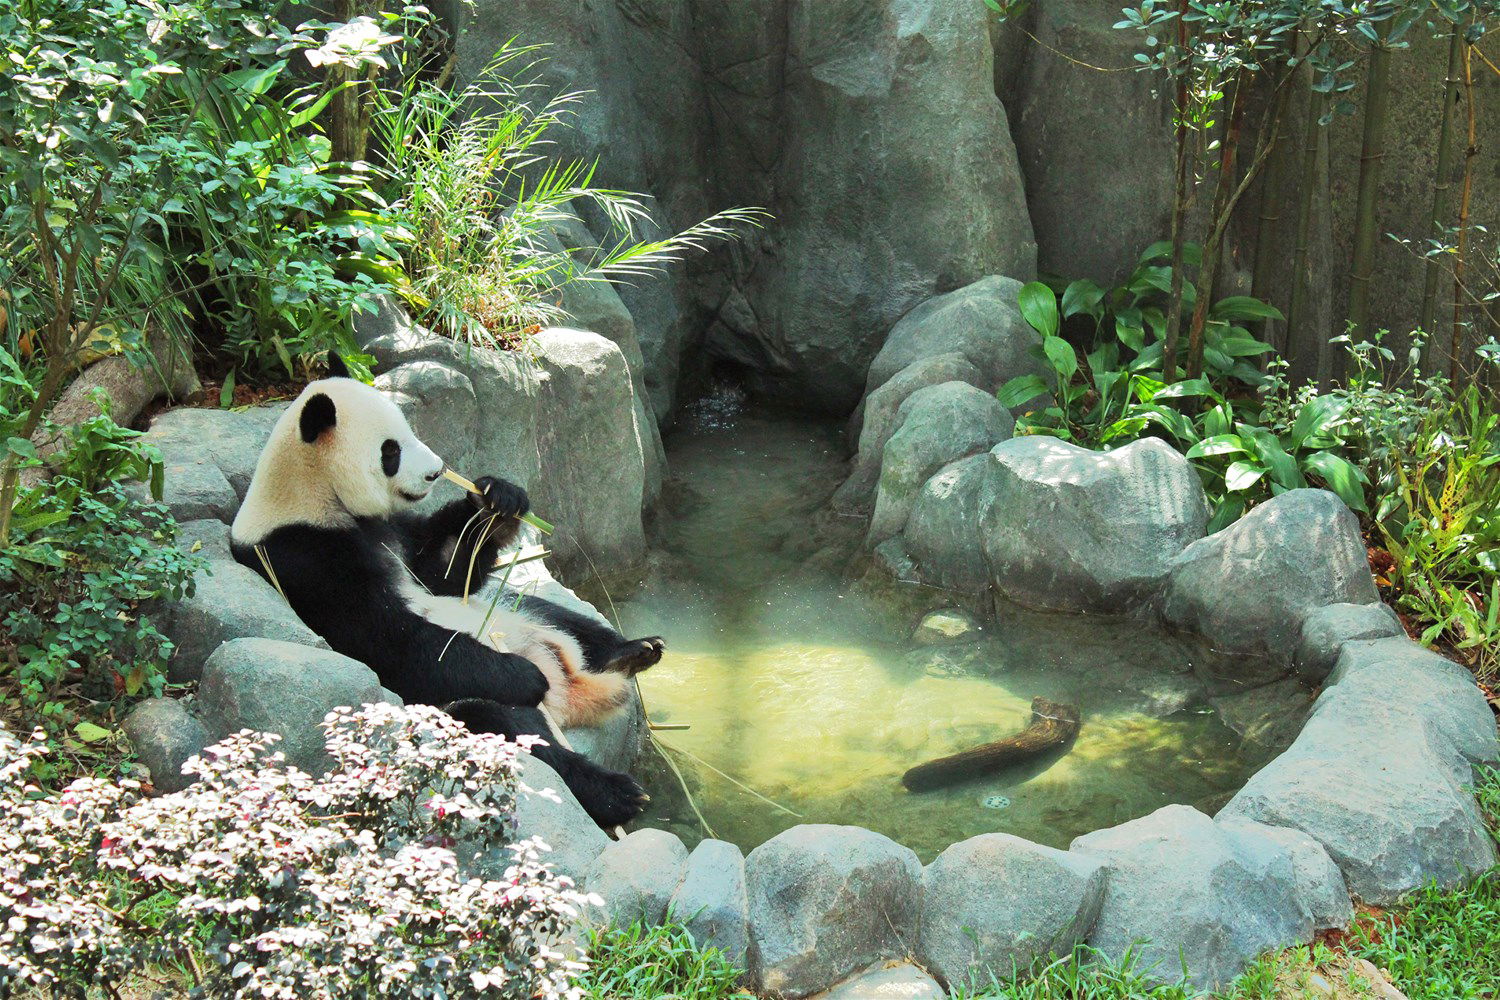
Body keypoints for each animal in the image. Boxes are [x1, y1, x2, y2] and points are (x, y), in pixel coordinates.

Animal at [229, 354, 663, 828]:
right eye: (391, 450)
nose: (436, 471)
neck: (311, 495)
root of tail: (572, 690)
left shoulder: (392, 532)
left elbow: (443, 573)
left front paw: (498, 501)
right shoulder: (304, 558)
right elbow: (390, 638)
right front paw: (522, 674)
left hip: (513, 611)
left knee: (555, 614)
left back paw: (633, 651)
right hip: (466, 696)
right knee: (511, 726)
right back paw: (613, 790)